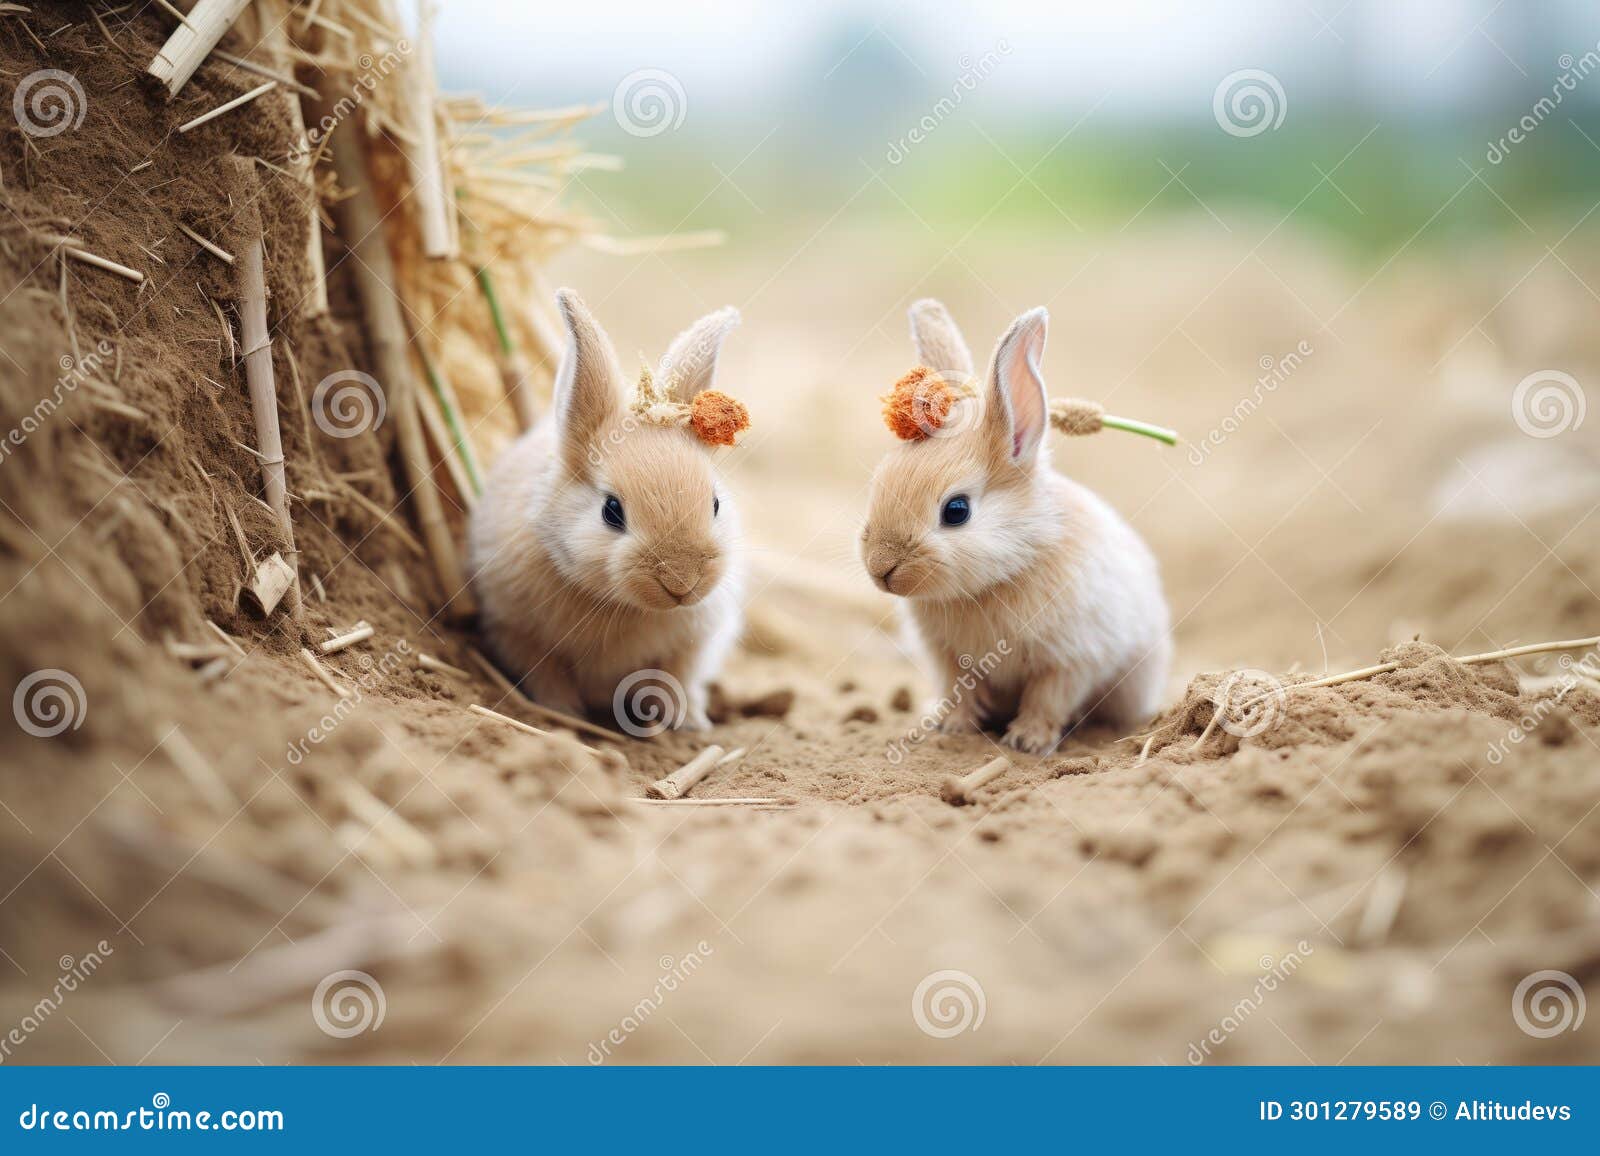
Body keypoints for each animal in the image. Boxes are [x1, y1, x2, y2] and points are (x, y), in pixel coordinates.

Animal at [469, 289, 745, 733]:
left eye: (716, 503)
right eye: (612, 511)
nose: (681, 582)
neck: (622, 604)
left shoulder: (694, 645)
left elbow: (679, 679)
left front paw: (688, 723)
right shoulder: (521, 635)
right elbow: (548, 677)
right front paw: (563, 715)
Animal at [860, 298, 1171, 754]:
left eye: (956, 510)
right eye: (878, 483)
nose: (880, 569)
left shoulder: (1071, 659)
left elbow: (1047, 699)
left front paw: (1027, 741)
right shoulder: (948, 659)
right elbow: (959, 692)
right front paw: (954, 728)